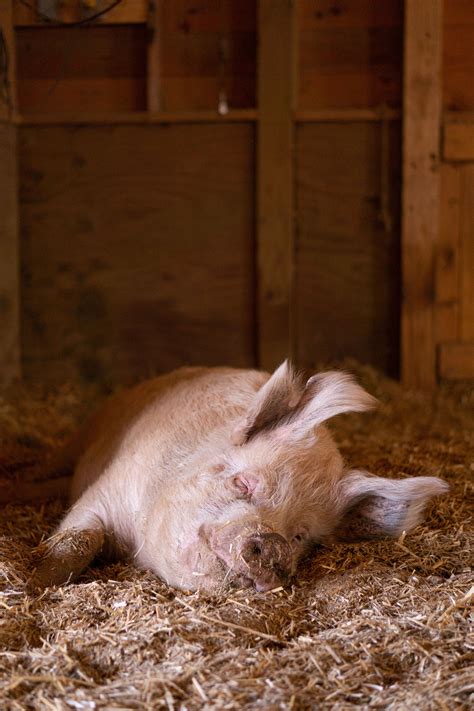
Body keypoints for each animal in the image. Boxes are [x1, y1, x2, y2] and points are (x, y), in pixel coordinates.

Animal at [33, 362, 448, 592]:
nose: (274, 543)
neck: (137, 546)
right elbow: (77, 539)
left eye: (300, 536)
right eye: (244, 483)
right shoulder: (107, 488)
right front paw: (36, 584)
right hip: (81, 436)